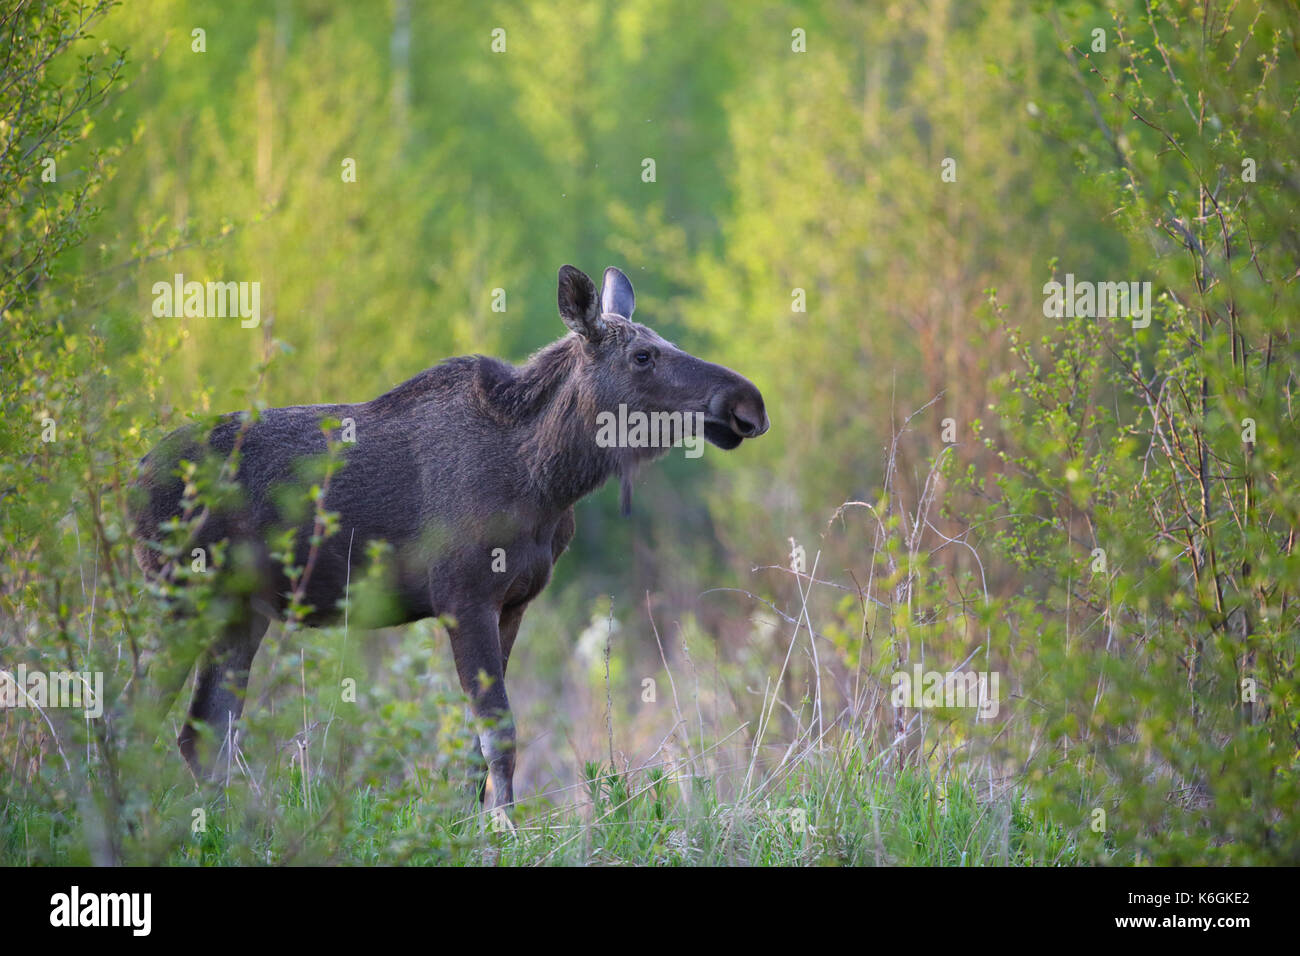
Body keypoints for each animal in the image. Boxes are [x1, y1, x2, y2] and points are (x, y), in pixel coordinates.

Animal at [131, 264, 769, 815]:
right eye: (642, 355)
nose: (748, 402)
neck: (545, 478)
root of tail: (132, 478)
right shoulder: (464, 600)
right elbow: (498, 734)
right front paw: (503, 832)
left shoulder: (513, 604)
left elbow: (473, 747)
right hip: (183, 598)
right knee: (135, 713)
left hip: (240, 610)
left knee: (201, 733)